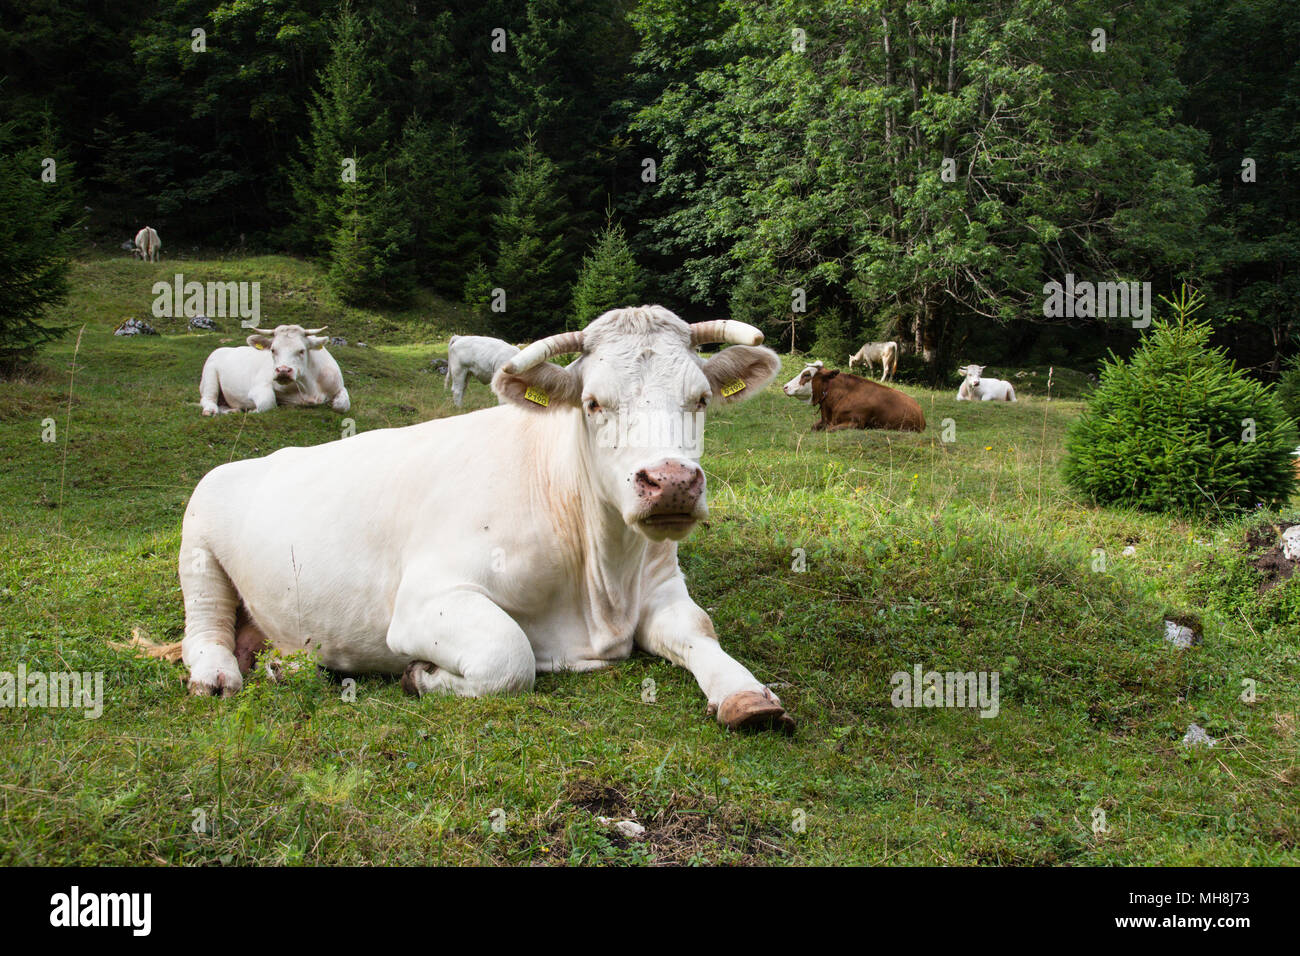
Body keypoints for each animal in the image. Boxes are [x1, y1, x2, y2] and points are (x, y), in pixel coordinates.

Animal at [198, 324, 350, 416]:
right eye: (273, 350)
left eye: (301, 350)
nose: (283, 370)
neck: (310, 388)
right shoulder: (259, 386)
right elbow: (268, 402)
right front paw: (252, 410)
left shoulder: (338, 386)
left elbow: (342, 405)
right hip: (209, 375)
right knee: (208, 398)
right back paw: (211, 410)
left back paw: (232, 410)